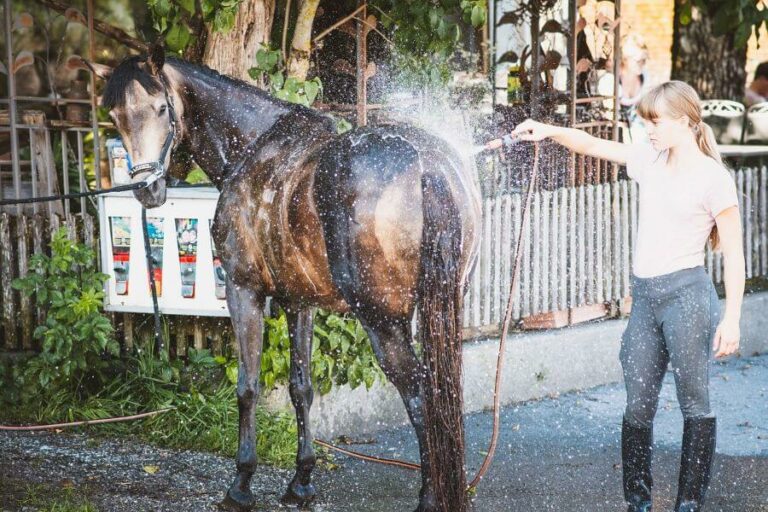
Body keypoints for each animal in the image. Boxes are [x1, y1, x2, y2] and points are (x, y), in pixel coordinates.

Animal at [96, 42, 481, 512]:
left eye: (161, 108)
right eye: (116, 115)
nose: (147, 189)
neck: (253, 148)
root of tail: (429, 165)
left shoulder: (244, 291)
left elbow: (247, 387)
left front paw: (241, 484)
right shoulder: (301, 302)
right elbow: (302, 388)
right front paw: (302, 480)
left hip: (383, 322)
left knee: (422, 394)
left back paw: (429, 496)